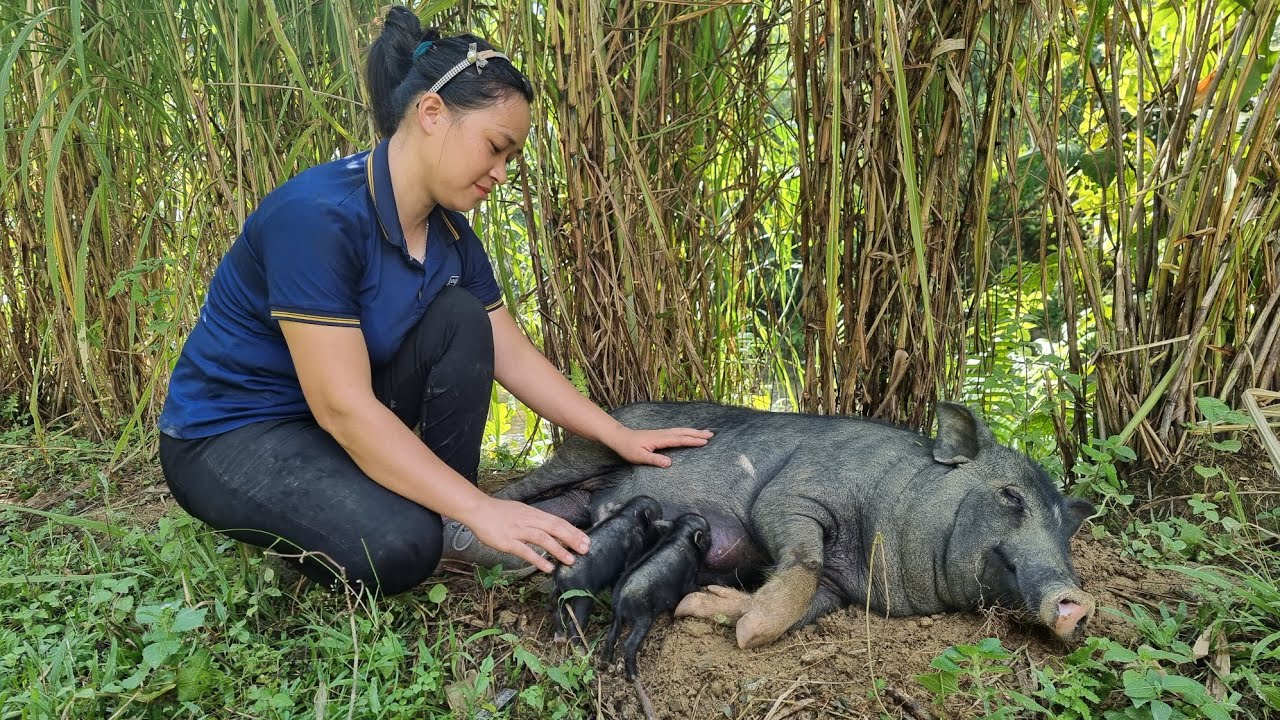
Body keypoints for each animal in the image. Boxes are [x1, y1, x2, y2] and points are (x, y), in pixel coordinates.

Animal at [551, 495, 663, 645]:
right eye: (659, 515)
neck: (630, 514)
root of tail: (561, 575)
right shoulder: (635, 547)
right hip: (582, 596)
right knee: (573, 623)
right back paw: (582, 648)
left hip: (561, 595)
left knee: (557, 614)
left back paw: (559, 639)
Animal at [602, 513, 711, 679]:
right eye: (709, 534)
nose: (713, 535)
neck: (681, 534)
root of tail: (620, 599)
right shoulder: (689, 578)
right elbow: (691, 590)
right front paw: (703, 590)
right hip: (643, 617)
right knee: (628, 644)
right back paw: (634, 676)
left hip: (616, 618)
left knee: (610, 636)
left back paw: (605, 664)